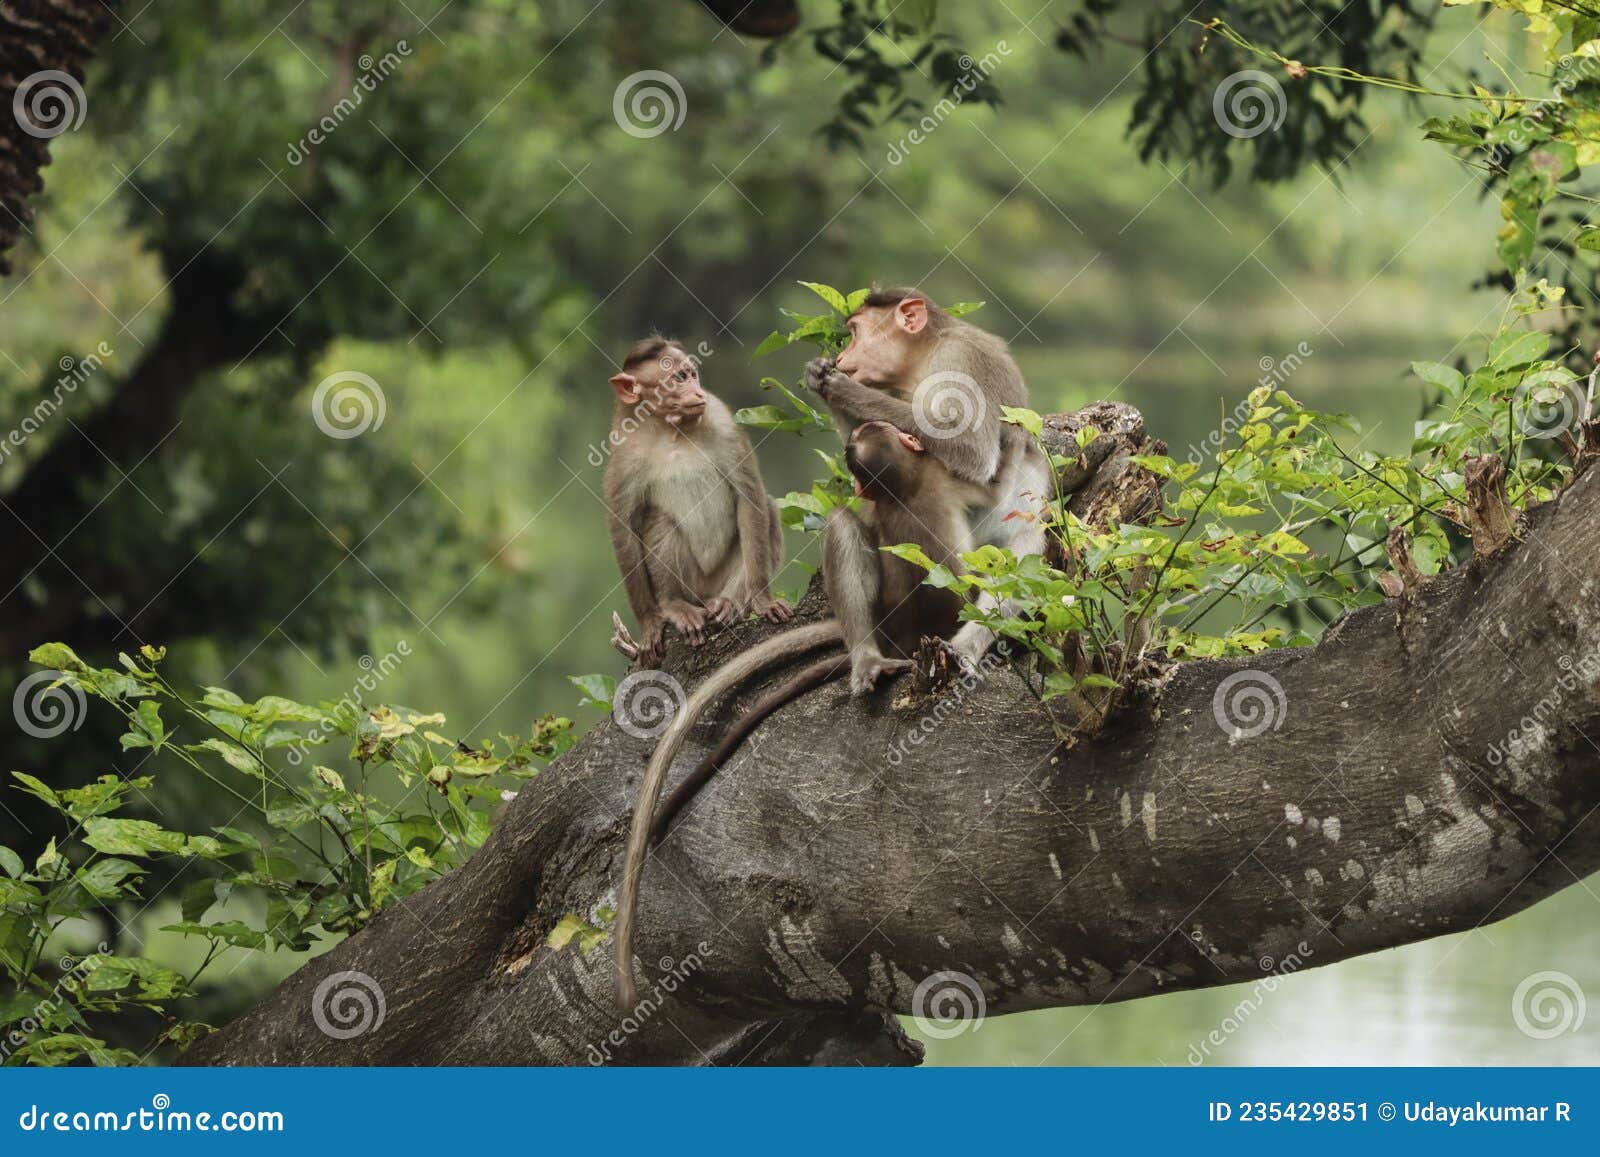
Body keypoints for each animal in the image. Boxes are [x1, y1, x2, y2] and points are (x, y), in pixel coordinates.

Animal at [604, 336, 793, 668]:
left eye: (692, 374)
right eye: (679, 377)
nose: (697, 391)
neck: (668, 429)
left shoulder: (720, 418)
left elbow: (749, 495)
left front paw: (762, 598)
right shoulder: (624, 451)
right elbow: (623, 526)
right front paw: (649, 622)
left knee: (765, 509)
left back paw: (731, 604)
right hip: (690, 585)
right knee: (659, 520)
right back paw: (675, 605)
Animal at [803, 288, 1053, 669]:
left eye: (856, 331)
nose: (843, 356)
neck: (922, 360)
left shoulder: (959, 358)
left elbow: (974, 453)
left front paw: (843, 389)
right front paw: (818, 374)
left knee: (1023, 547)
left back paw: (965, 647)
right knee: (841, 522)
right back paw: (867, 659)